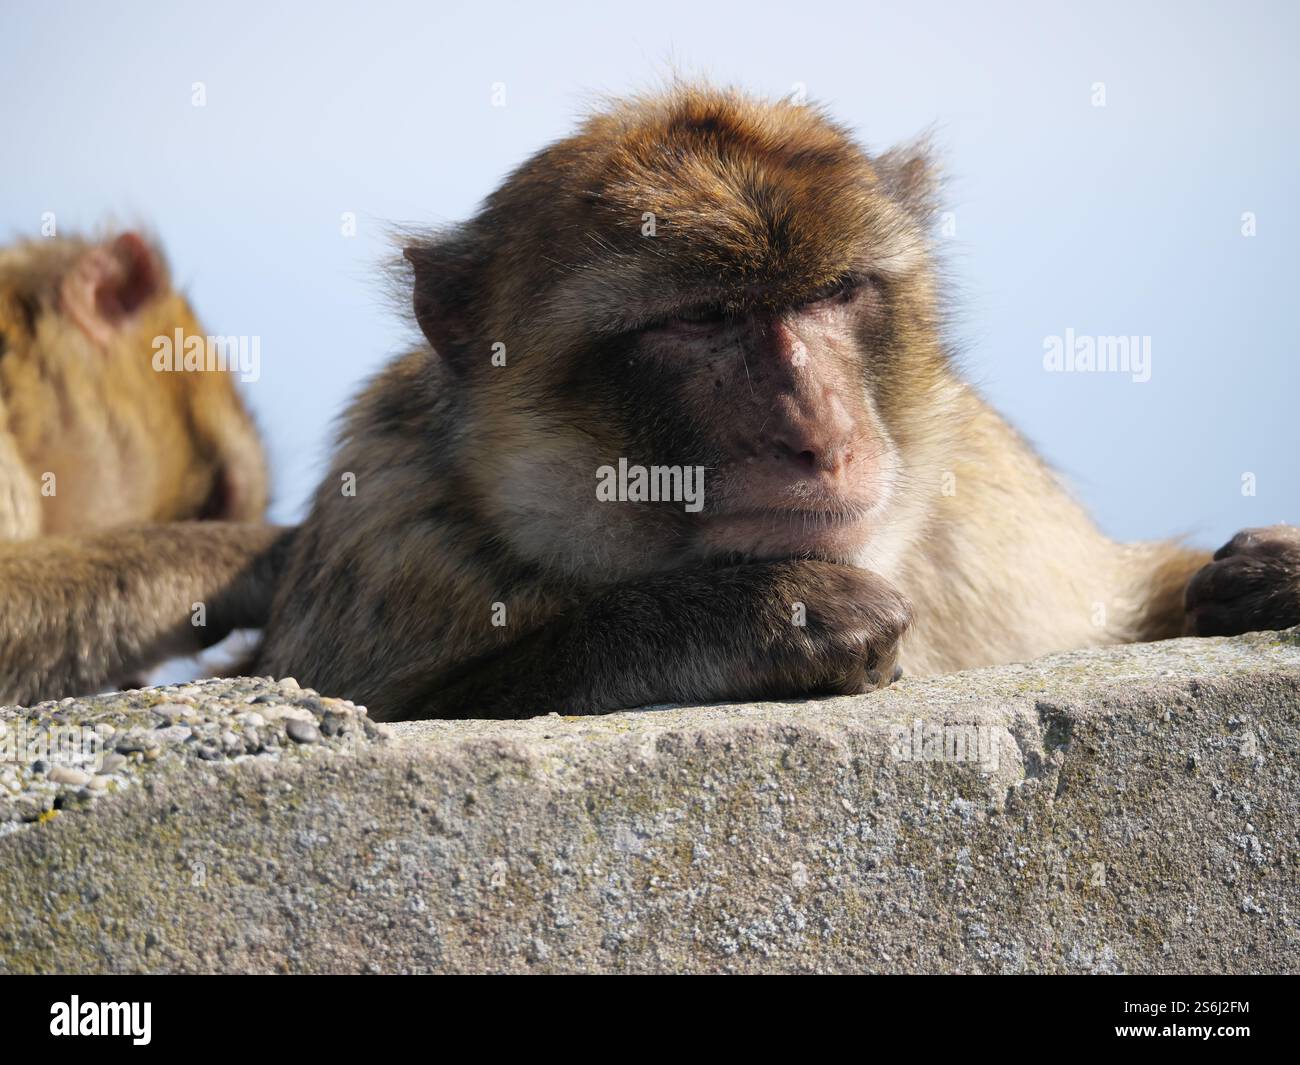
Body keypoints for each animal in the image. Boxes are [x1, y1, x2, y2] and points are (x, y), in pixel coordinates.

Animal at [255, 85, 1300, 722]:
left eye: (831, 293)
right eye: (701, 317)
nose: (823, 437)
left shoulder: (990, 502)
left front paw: (1270, 573)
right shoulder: (394, 523)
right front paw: (759, 615)